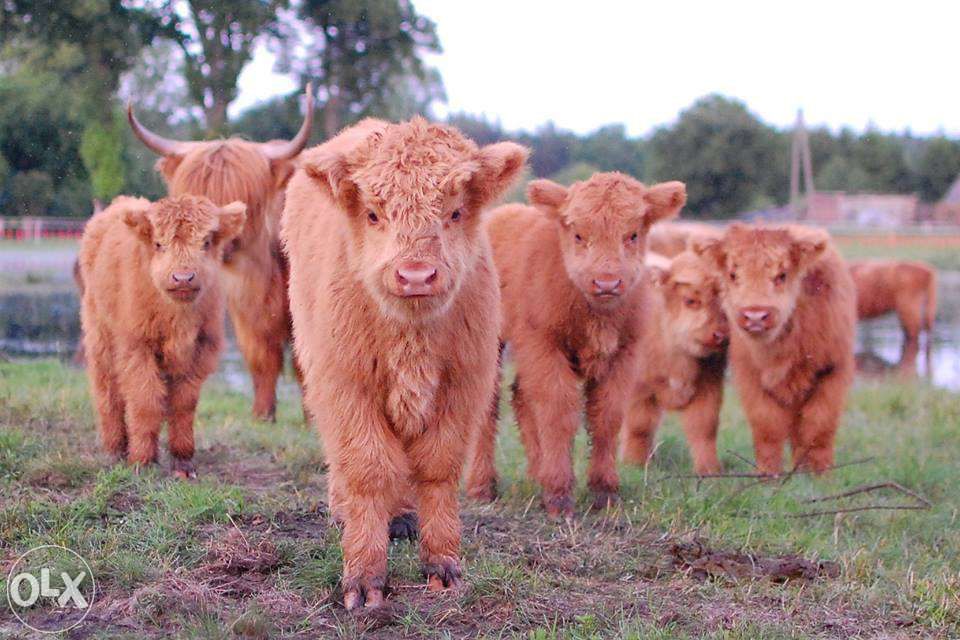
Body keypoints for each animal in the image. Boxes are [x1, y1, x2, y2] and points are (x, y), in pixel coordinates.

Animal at [79, 195, 246, 477]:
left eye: (206, 242)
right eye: (159, 244)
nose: (183, 277)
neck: (178, 317)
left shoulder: (199, 351)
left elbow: (183, 403)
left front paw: (183, 462)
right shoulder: (137, 348)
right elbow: (146, 400)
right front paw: (142, 460)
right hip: (100, 336)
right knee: (108, 390)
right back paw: (115, 449)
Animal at [281, 117, 527, 610]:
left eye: (455, 212)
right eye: (374, 214)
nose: (416, 275)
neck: (411, 336)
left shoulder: (462, 385)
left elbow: (437, 467)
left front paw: (443, 567)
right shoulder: (345, 385)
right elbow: (368, 468)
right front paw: (364, 578)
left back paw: (403, 519)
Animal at [464, 173, 686, 518]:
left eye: (633, 234)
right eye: (579, 234)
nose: (607, 282)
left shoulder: (624, 356)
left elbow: (607, 417)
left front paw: (604, 492)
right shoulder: (544, 346)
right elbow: (558, 412)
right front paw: (559, 496)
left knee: (521, 397)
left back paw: (536, 473)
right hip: (492, 344)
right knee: (489, 405)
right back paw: (482, 487)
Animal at [621, 250, 729, 474]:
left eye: (724, 300)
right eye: (690, 300)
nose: (721, 335)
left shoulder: (709, 386)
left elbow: (704, 427)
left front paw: (709, 469)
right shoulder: (639, 388)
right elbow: (639, 427)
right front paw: (633, 464)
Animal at [693, 224, 856, 475]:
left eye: (782, 275)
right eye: (733, 274)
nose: (755, 315)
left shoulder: (833, 371)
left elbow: (819, 427)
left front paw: (821, 474)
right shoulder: (751, 377)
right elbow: (767, 427)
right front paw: (768, 474)